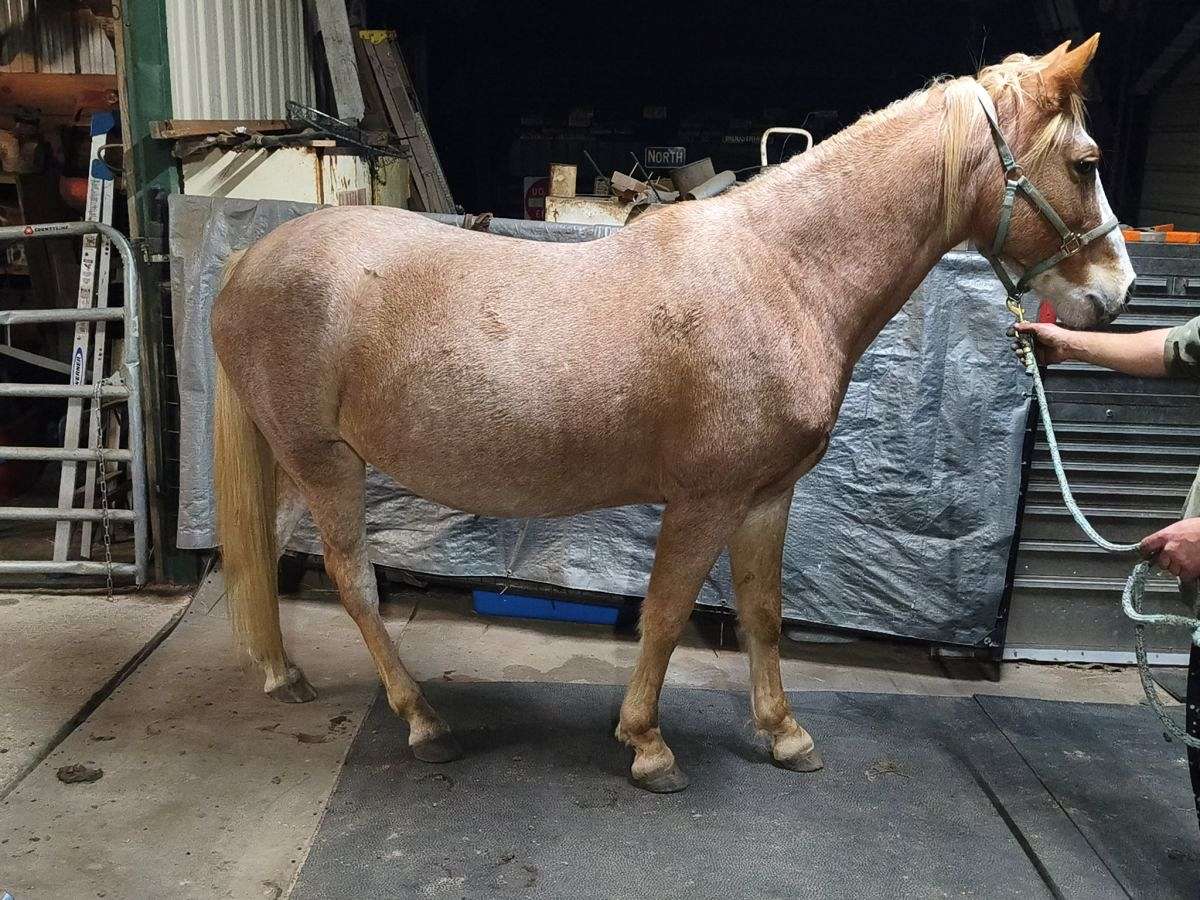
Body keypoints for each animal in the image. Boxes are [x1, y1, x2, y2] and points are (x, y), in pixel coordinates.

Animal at [211, 35, 1133, 793]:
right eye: (1087, 162)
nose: (1117, 295)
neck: (779, 273)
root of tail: (251, 259)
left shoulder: (767, 496)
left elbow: (763, 613)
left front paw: (784, 734)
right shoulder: (704, 500)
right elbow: (664, 613)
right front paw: (648, 745)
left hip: (299, 460)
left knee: (264, 543)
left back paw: (281, 674)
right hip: (326, 459)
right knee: (354, 579)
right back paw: (422, 721)